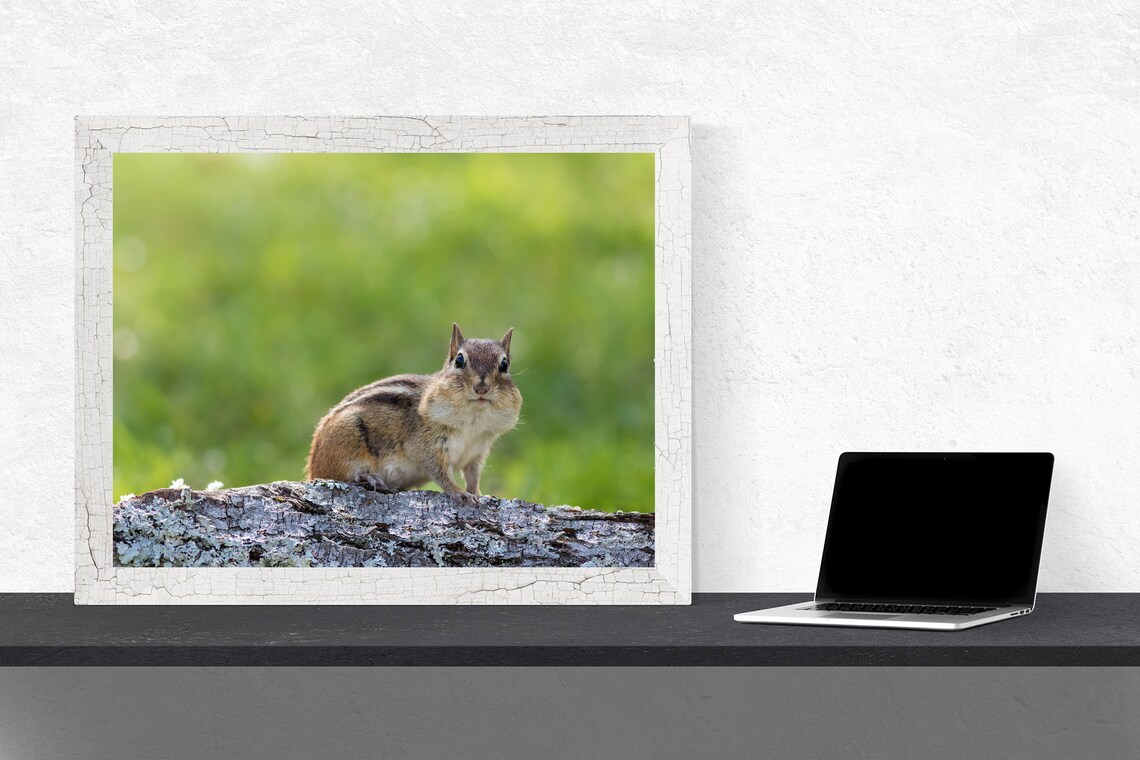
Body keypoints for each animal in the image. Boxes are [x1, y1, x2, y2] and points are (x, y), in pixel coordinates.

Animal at [304, 323, 522, 505]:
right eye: (459, 360)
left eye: (504, 365)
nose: (481, 388)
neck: (473, 424)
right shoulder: (428, 443)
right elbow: (440, 472)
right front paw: (459, 492)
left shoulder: (478, 450)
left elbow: (473, 476)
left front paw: (478, 493)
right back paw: (369, 477)